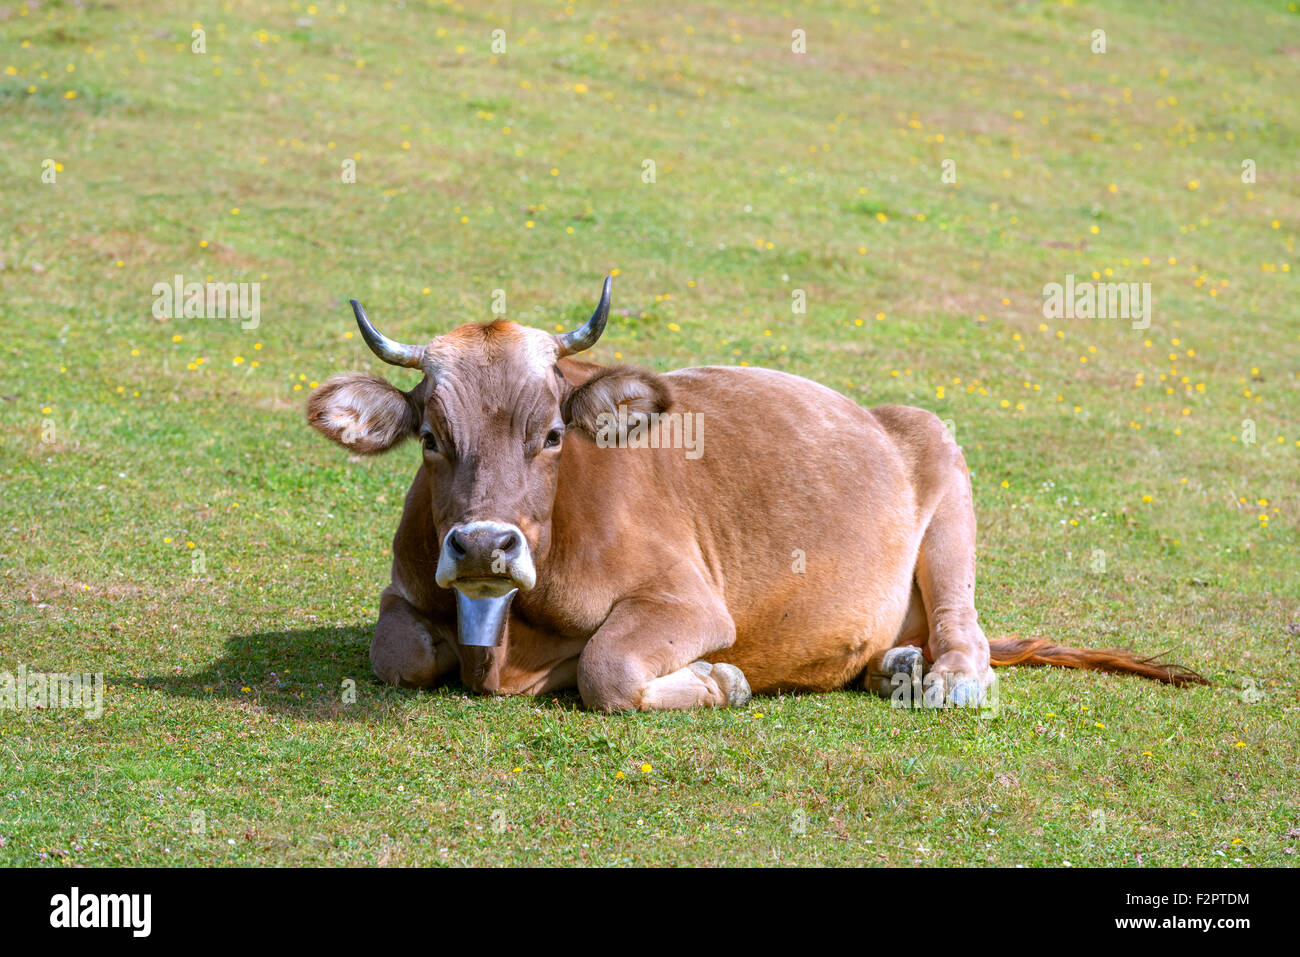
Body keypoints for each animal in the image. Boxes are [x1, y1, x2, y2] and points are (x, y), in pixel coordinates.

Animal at [307, 278, 1207, 712]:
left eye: (554, 434)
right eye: (432, 436)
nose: (484, 546)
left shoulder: (689, 601)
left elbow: (607, 665)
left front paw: (720, 682)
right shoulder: (405, 589)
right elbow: (399, 654)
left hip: (946, 478)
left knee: (967, 633)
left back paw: (943, 676)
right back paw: (898, 666)